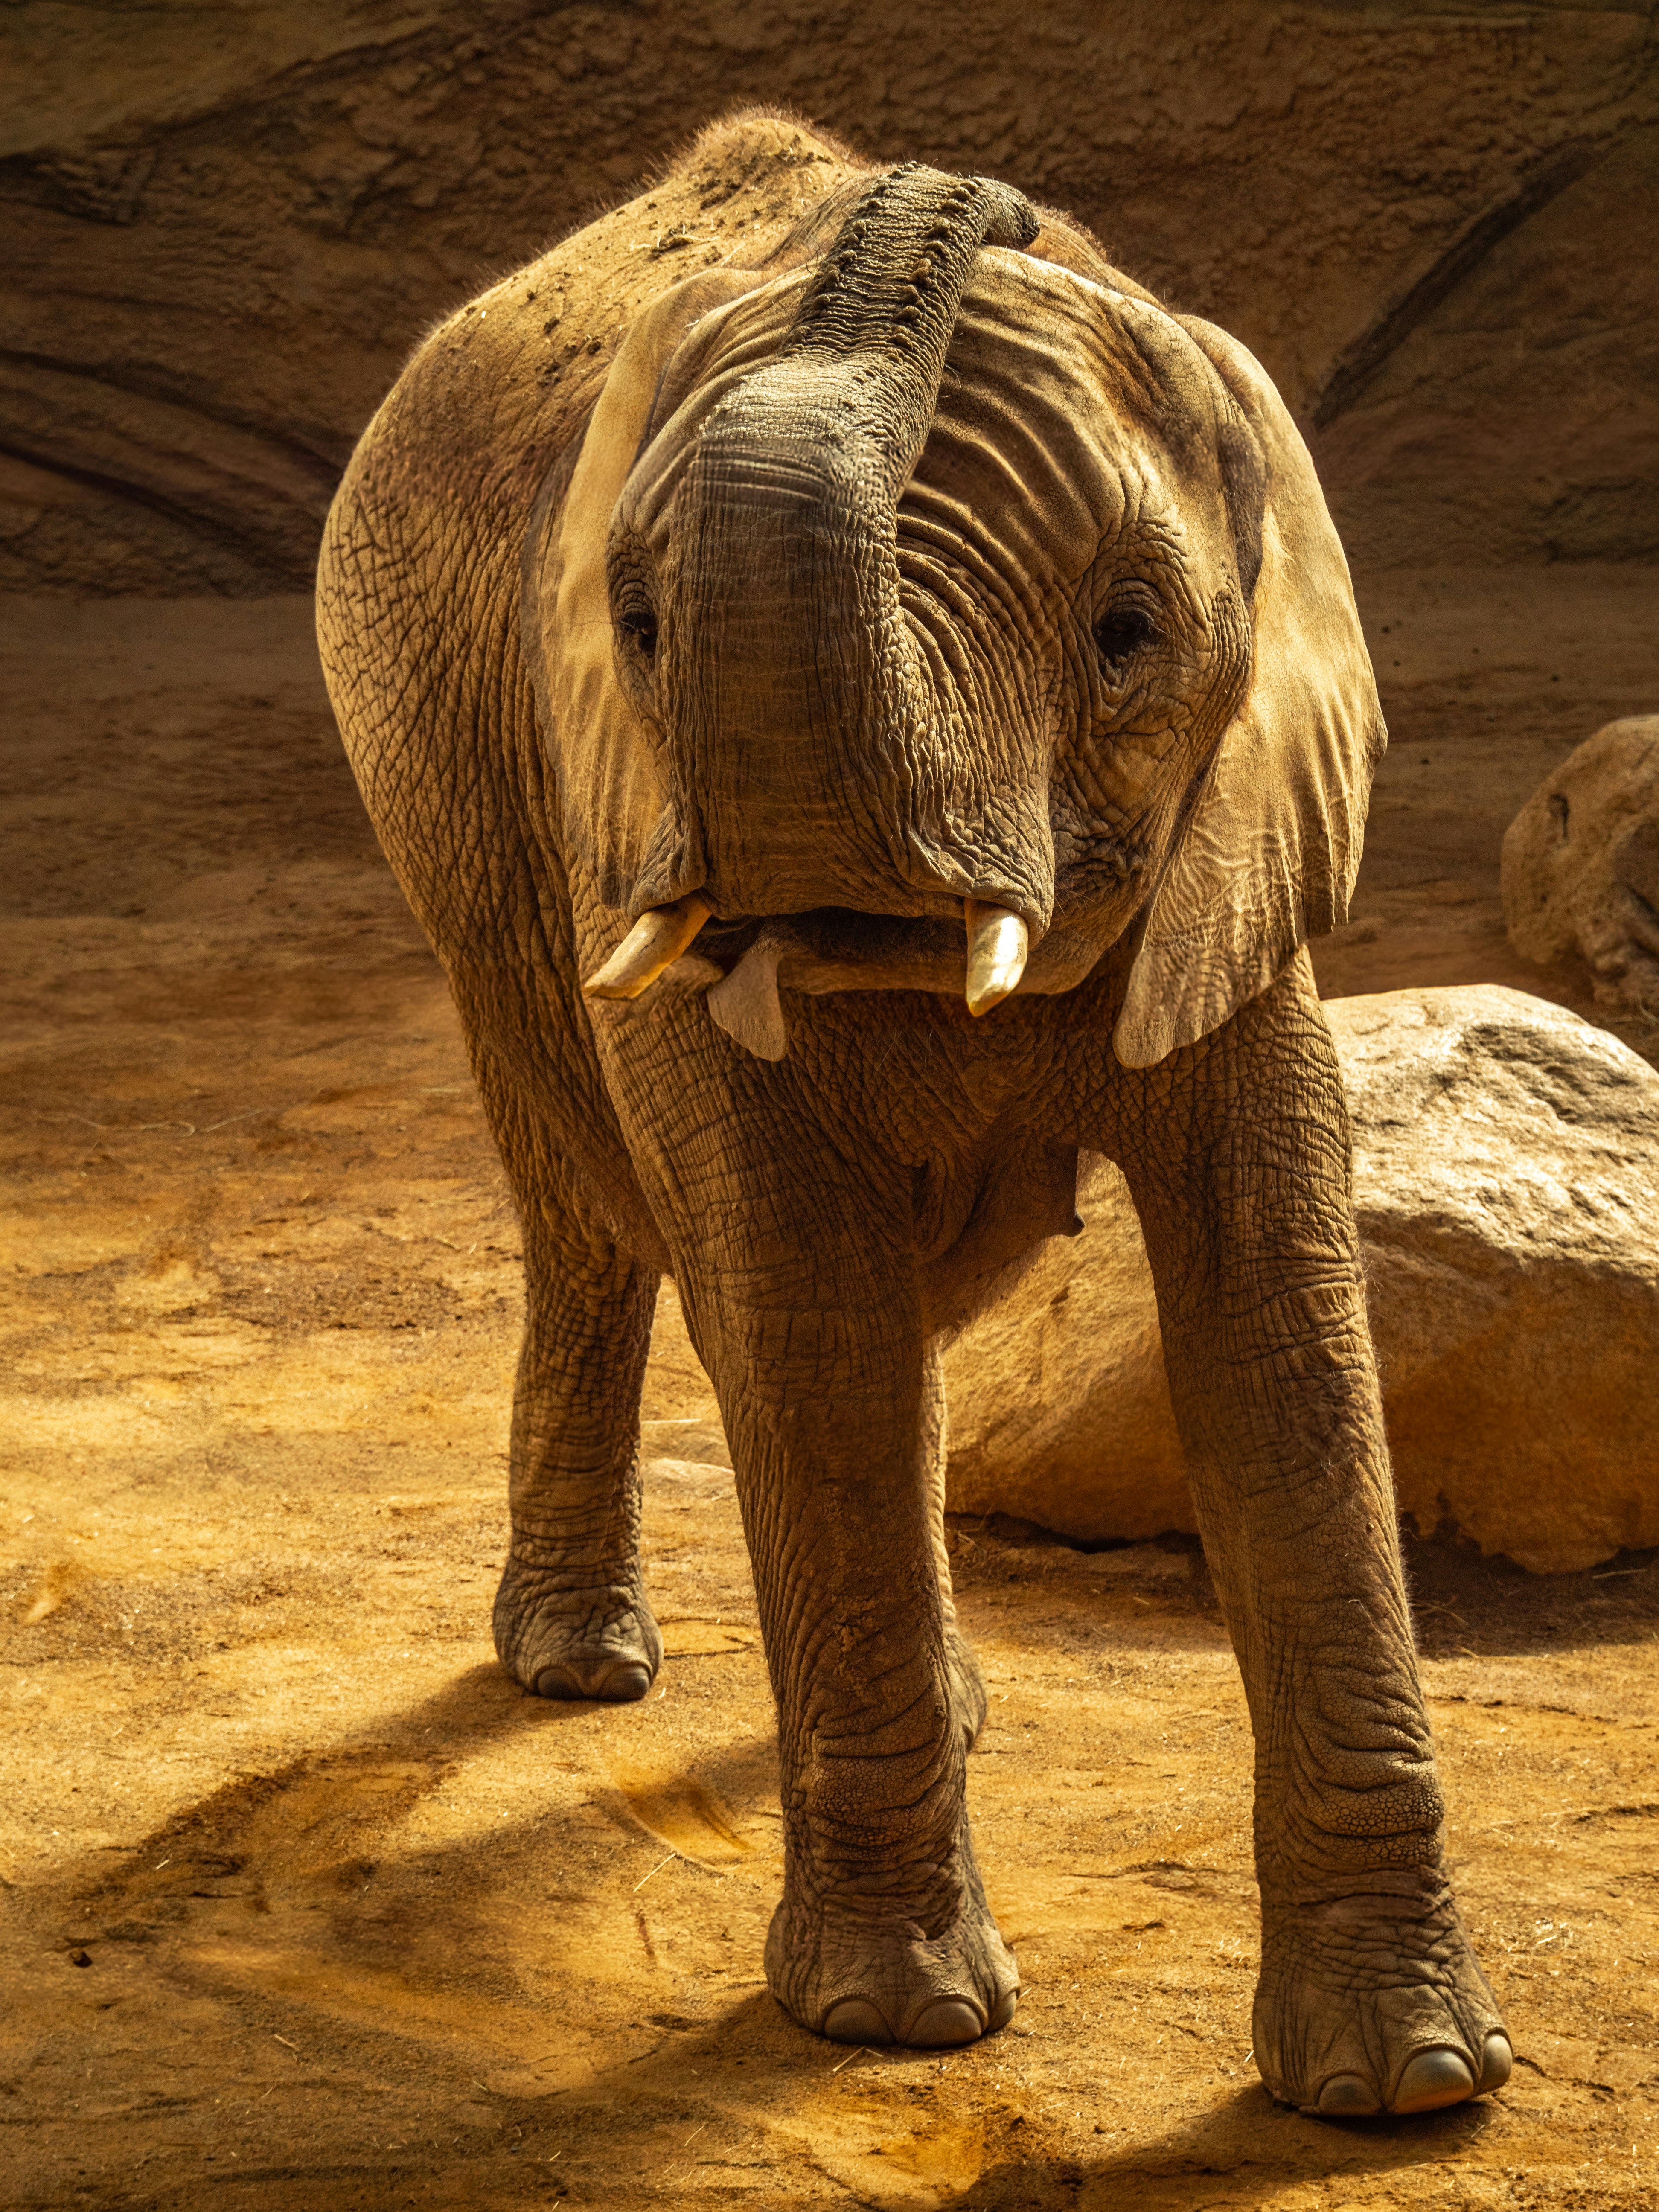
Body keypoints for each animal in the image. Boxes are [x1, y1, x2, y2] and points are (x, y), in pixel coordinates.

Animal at [316, 109, 1511, 2117]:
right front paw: (894, 2025)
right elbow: (802, 1305)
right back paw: (579, 1665)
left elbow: (1276, 1324)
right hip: (445, 798)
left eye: (1127, 636)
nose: (961, 199)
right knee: (604, 1217)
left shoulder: (1237, 835)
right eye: (641, 626)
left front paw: (1409, 2085)